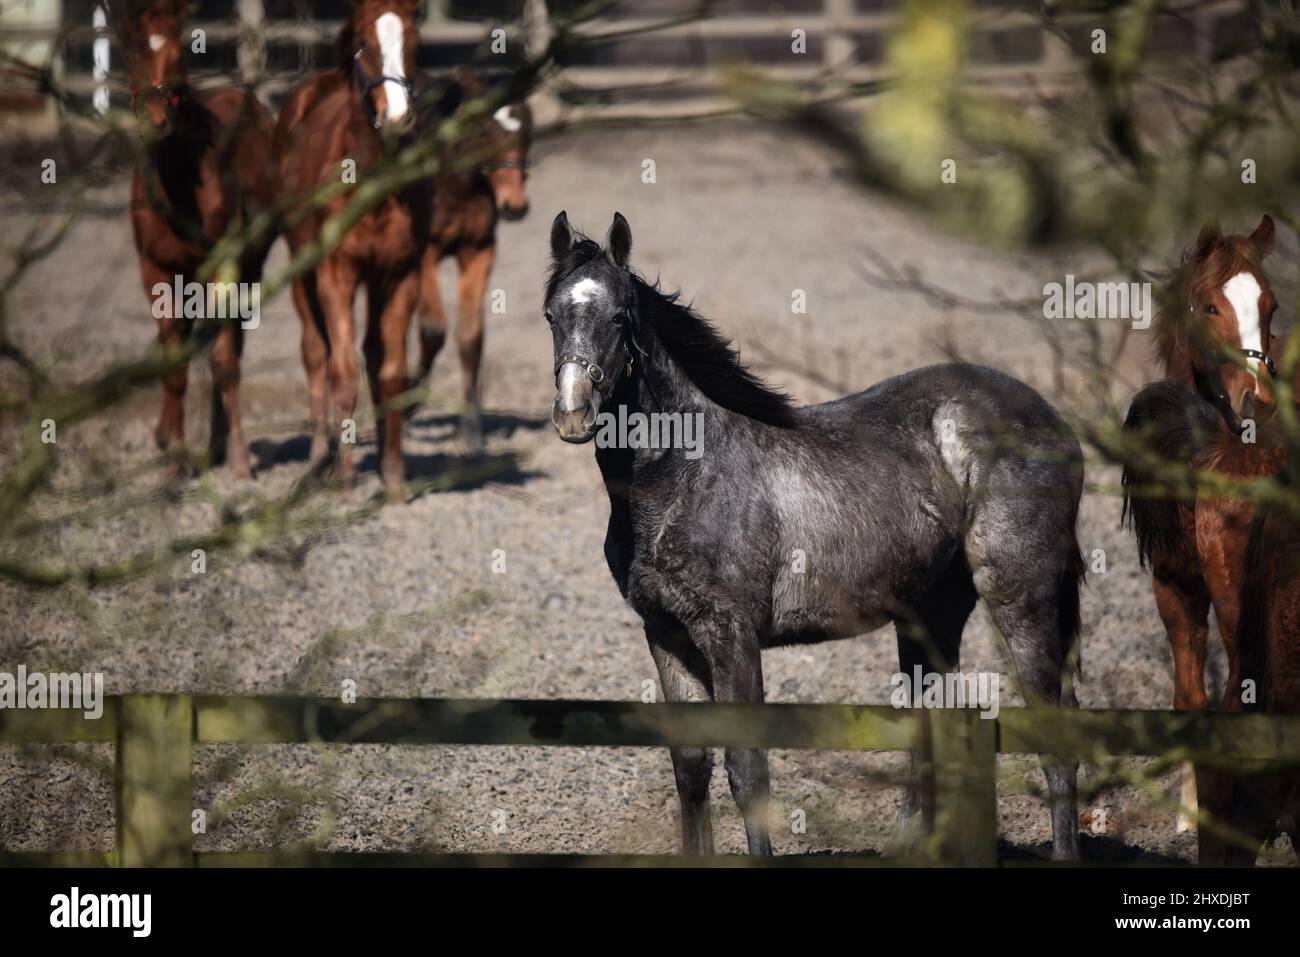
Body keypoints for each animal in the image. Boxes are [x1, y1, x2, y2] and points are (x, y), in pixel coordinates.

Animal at [121, 0, 275, 479]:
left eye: (180, 51)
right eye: (133, 49)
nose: (157, 121)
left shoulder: (224, 263)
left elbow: (224, 359)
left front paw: (240, 458)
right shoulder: (154, 268)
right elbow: (174, 359)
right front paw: (174, 456)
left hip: (249, 265)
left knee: (230, 341)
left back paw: (221, 444)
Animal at [274, 0, 430, 495]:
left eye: (415, 42)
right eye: (364, 42)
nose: (398, 118)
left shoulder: (401, 274)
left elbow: (390, 371)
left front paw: (395, 477)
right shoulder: (335, 273)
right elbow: (342, 370)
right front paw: (344, 480)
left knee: (374, 354)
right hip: (302, 271)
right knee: (315, 352)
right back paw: (318, 459)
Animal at [414, 71, 533, 454]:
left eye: (528, 130)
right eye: (483, 132)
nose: (515, 205)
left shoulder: (479, 249)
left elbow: (470, 337)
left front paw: (472, 433)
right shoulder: (424, 253)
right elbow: (433, 329)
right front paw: (408, 399)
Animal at [544, 211, 1086, 859]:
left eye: (621, 316)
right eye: (551, 314)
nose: (573, 413)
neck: (682, 475)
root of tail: (1053, 421)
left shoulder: (732, 637)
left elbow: (746, 768)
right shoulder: (666, 635)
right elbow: (691, 767)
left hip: (1021, 600)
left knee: (1056, 731)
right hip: (931, 613)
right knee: (930, 723)